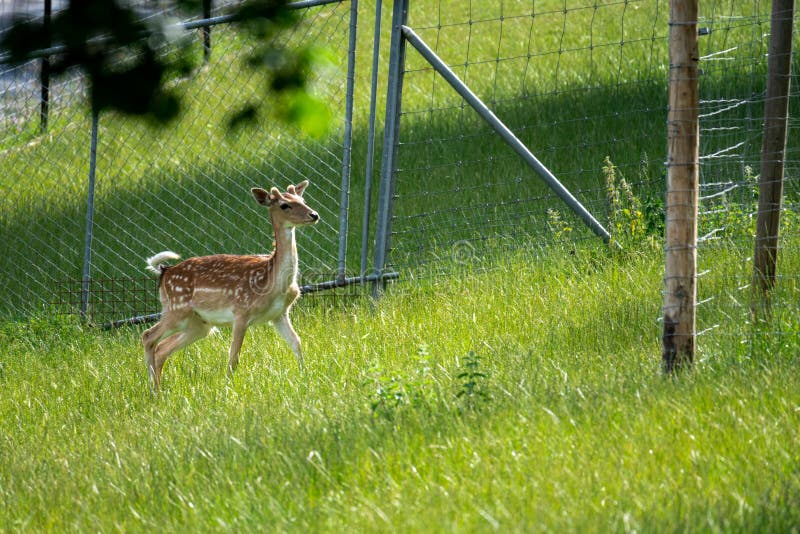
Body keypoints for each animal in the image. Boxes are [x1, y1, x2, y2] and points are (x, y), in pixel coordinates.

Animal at [142, 180, 319, 392]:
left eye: (303, 199)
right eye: (285, 205)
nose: (314, 215)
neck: (271, 282)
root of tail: (164, 272)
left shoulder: (279, 314)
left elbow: (297, 342)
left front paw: (306, 378)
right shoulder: (241, 311)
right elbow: (234, 357)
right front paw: (228, 389)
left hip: (199, 324)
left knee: (162, 348)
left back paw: (157, 390)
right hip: (177, 309)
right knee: (148, 336)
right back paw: (153, 391)